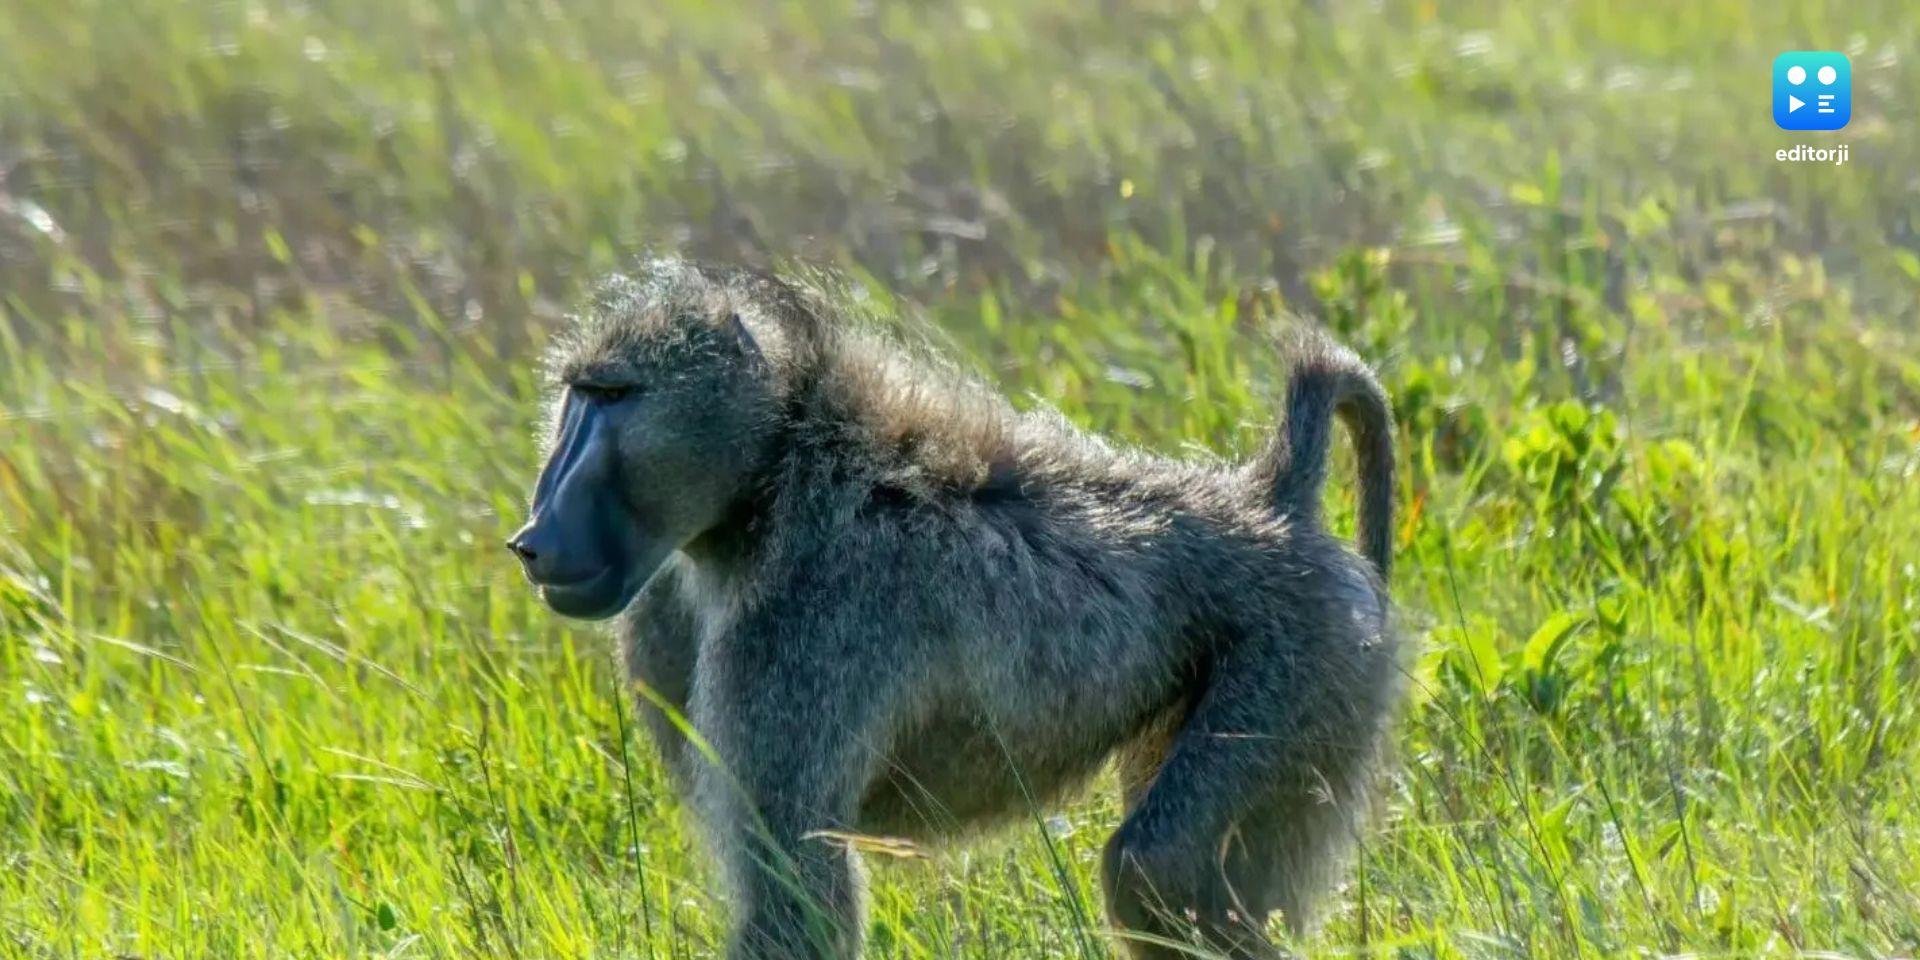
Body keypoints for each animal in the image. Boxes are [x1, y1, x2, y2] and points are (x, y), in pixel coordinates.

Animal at [507, 258, 1403, 959]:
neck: (773, 478)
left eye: (612, 395)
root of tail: (1269, 505)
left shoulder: (800, 636)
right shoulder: (662, 613)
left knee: (1156, 871)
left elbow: (796, 903)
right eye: (576, 396)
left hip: (1304, 661)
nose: (532, 538)